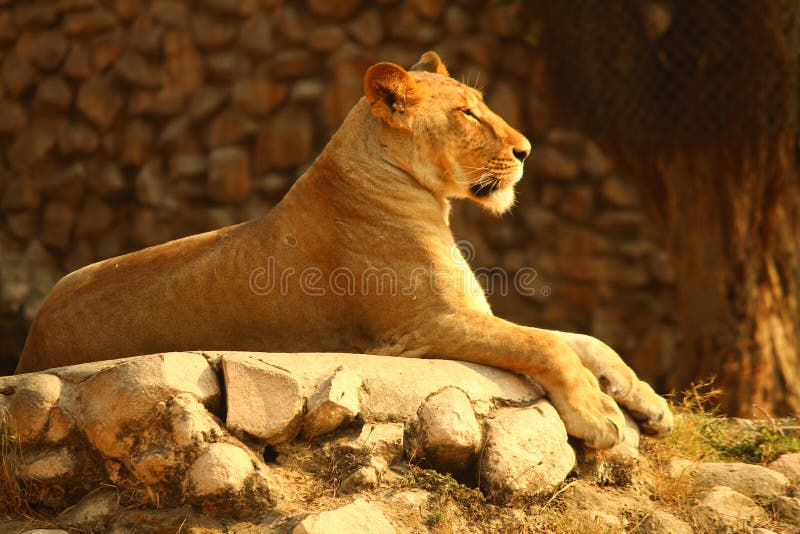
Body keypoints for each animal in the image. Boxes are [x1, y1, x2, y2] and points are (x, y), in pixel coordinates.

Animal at [15, 52, 672, 449]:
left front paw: (647, 401)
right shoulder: (421, 328)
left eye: (482, 104)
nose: (527, 150)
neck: (425, 200)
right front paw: (600, 416)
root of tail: (29, 346)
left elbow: (583, 340)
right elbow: (545, 346)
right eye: (467, 113)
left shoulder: (468, 312)